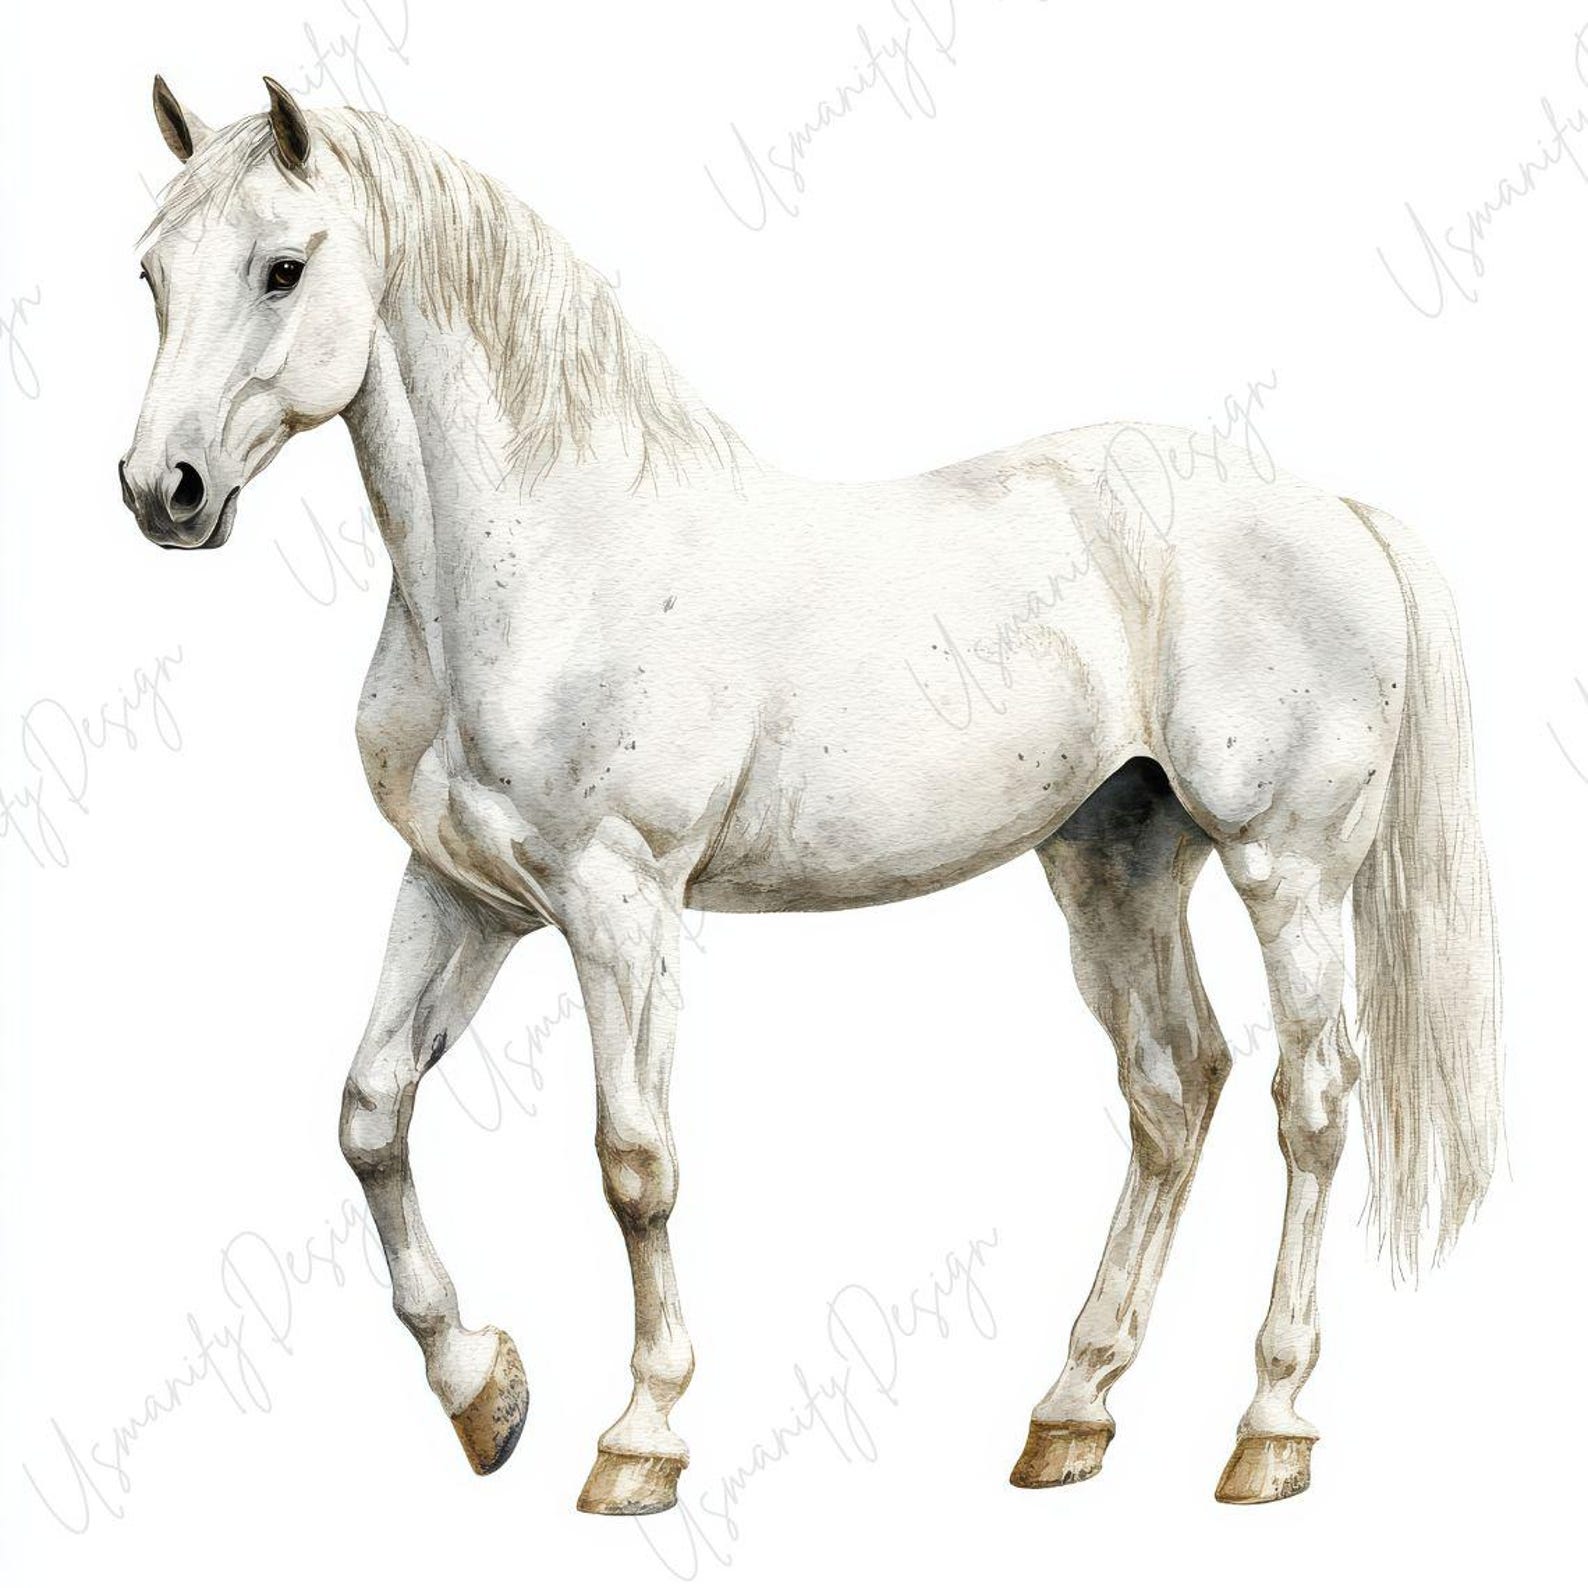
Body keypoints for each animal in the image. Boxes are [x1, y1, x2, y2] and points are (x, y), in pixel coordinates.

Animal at [121, 75, 1502, 1514]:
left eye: (283, 268)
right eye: (153, 271)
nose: (164, 492)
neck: (554, 552)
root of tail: (1331, 509)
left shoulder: (619, 903)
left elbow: (633, 1162)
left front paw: (641, 1438)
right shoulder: (462, 893)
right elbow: (370, 1115)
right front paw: (480, 1391)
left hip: (1286, 866)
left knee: (1314, 1102)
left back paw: (1269, 1428)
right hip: (1113, 863)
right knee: (1174, 1087)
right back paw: (1071, 1412)